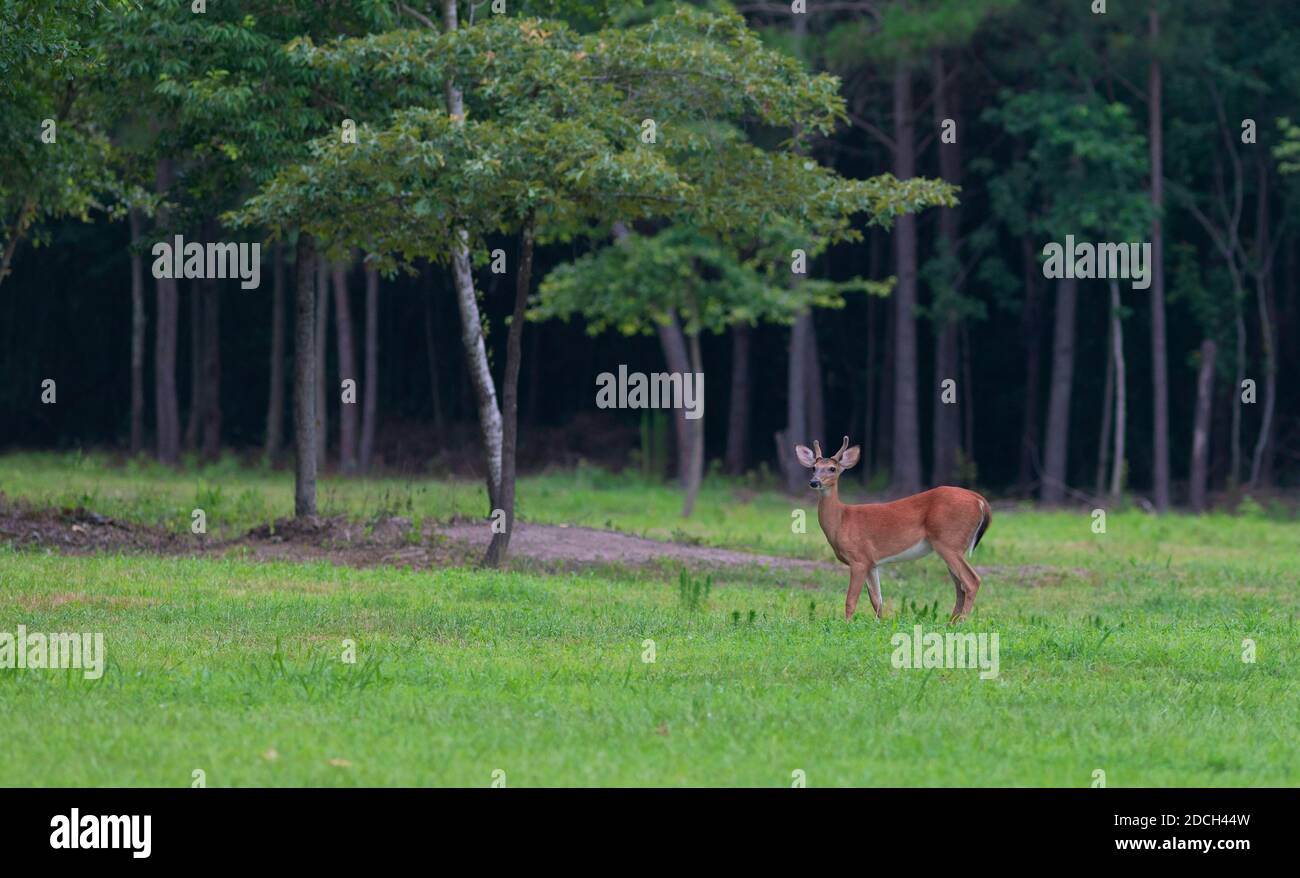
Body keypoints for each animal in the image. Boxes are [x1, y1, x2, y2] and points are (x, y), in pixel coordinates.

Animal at [795, 437, 991, 623]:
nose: (814, 482)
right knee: (960, 587)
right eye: (813, 468)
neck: (842, 520)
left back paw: (961, 623)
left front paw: (847, 625)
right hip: (953, 546)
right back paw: (950, 623)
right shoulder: (871, 563)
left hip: (949, 542)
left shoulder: (858, 558)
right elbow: (877, 601)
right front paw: (878, 625)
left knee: (971, 581)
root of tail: (979, 500)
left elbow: (851, 600)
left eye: (832, 468)